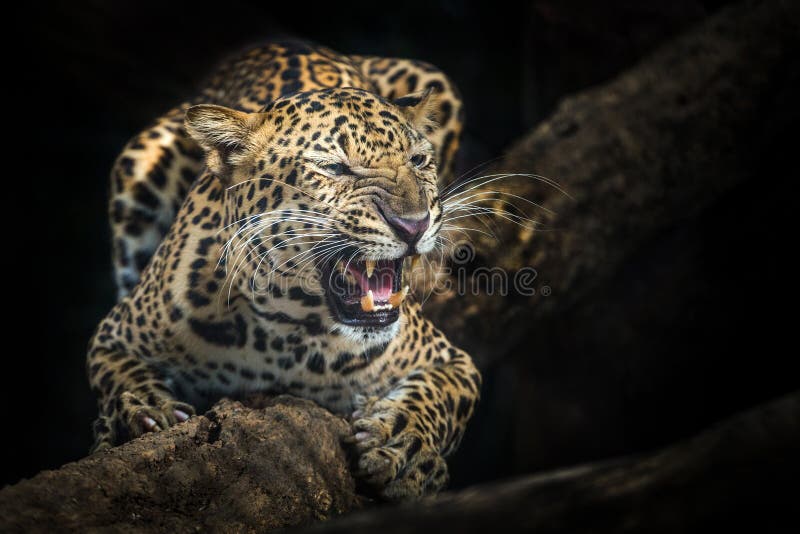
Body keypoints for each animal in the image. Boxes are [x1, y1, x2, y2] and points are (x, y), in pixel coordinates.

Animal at [88, 40, 481, 501]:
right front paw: (147, 411)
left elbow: (442, 399)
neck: (290, 329)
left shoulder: (452, 363)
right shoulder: (112, 338)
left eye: (419, 160)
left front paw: (405, 446)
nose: (414, 224)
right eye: (334, 168)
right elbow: (121, 378)